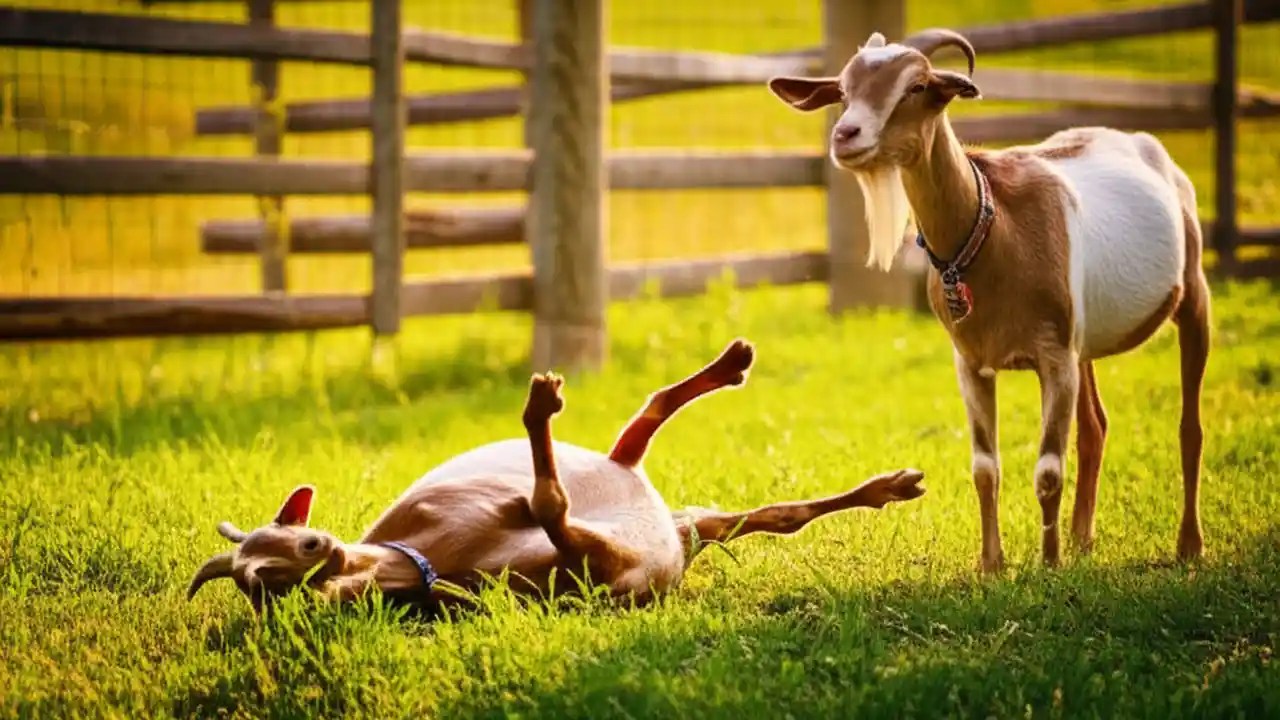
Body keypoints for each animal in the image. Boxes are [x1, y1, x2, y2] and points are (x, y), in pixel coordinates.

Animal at [188, 339, 926, 613]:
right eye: (259, 578)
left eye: (283, 527)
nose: (318, 545)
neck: (424, 562)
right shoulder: (603, 571)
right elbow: (551, 508)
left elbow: (543, 502)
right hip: (681, 524)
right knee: (772, 514)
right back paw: (885, 487)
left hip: (631, 474)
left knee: (650, 412)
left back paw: (728, 364)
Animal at [766, 30, 1210, 572]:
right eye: (844, 90)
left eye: (916, 86)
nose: (846, 135)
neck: (993, 230)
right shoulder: (971, 361)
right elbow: (984, 467)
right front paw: (991, 565)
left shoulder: (1054, 357)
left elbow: (1047, 470)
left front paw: (1049, 564)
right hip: (1084, 339)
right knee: (1094, 427)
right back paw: (1083, 541)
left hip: (1192, 292)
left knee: (1190, 426)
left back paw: (1188, 545)